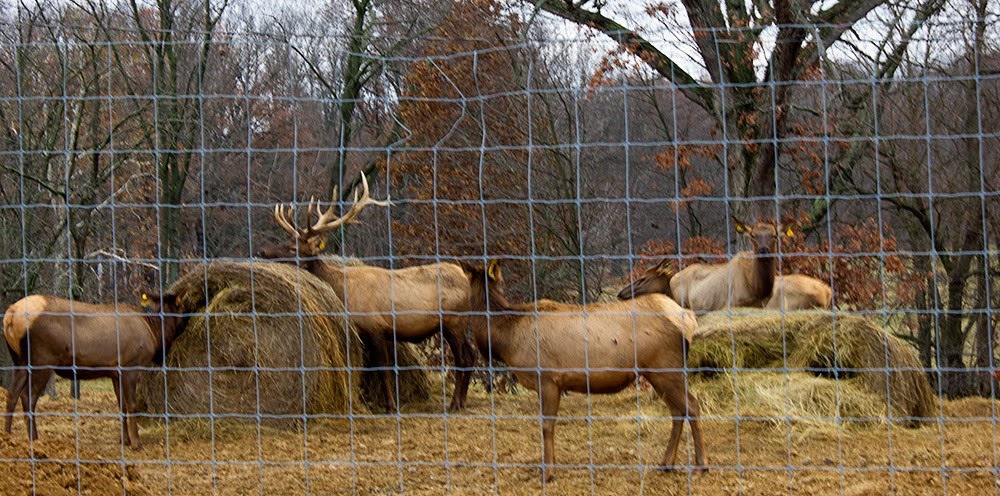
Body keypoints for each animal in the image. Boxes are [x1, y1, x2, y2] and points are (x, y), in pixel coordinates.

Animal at [4, 290, 189, 449]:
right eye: (181, 305)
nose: (189, 317)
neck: (154, 334)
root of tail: (10, 315)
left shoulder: (115, 373)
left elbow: (121, 406)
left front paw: (124, 440)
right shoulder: (130, 365)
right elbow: (131, 405)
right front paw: (136, 443)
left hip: (18, 360)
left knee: (12, 393)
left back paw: (7, 436)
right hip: (42, 359)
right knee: (28, 396)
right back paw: (34, 438)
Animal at [257, 176, 476, 412]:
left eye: (293, 248)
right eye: (286, 242)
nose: (262, 251)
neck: (343, 291)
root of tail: (467, 279)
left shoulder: (375, 326)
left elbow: (383, 368)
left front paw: (391, 406)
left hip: (454, 321)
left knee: (463, 359)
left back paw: (454, 404)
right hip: (459, 324)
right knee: (472, 354)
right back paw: (462, 401)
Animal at [463, 260, 706, 482]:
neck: (508, 340)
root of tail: (689, 319)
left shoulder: (548, 379)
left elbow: (546, 425)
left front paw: (547, 473)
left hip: (666, 367)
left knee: (692, 406)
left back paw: (700, 466)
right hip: (655, 372)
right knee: (677, 411)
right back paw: (666, 463)